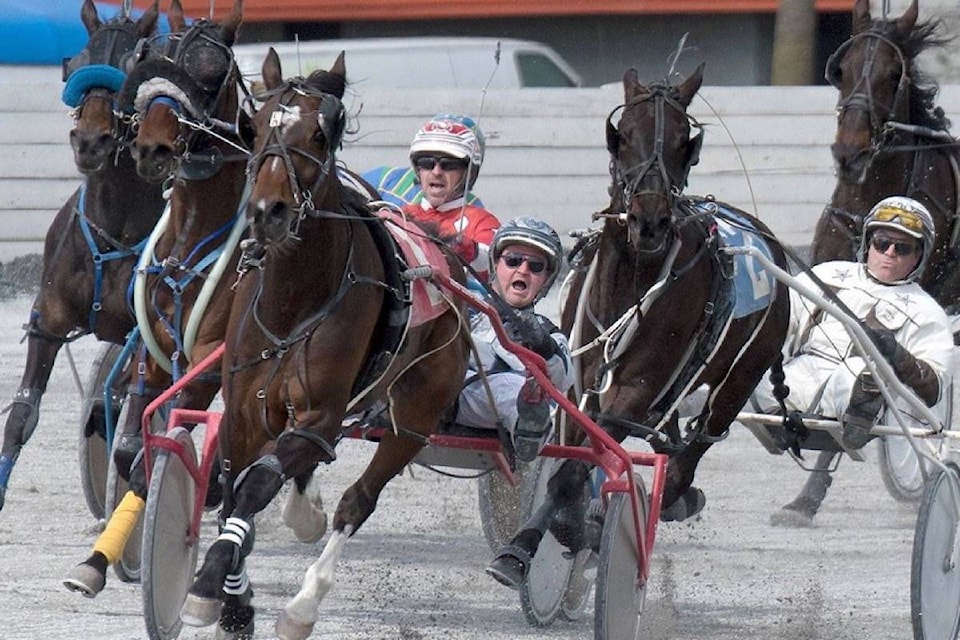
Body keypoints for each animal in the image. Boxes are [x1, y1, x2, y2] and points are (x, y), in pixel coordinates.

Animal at [0, 0, 163, 512]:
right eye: (80, 59)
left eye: (133, 63)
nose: (91, 140)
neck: (113, 227)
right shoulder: (48, 321)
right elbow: (22, 415)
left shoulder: (146, 330)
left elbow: (135, 425)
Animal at [176, 50, 468, 640]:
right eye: (255, 127)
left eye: (320, 133)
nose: (268, 211)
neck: (292, 301)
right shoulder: (243, 413)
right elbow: (232, 487)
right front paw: (235, 604)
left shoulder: (318, 419)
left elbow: (256, 486)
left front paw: (210, 587)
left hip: (416, 414)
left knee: (358, 501)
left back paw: (303, 604)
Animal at [484, 63, 792, 584]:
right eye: (623, 135)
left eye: (684, 141)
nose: (649, 221)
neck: (632, 278)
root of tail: (765, 237)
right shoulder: (579, 377)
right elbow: (575, 448)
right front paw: (545, 536)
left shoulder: (640, 385)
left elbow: (574, 473)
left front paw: (552, 537)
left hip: (740, 376)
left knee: (694, 450)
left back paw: (675, 496)